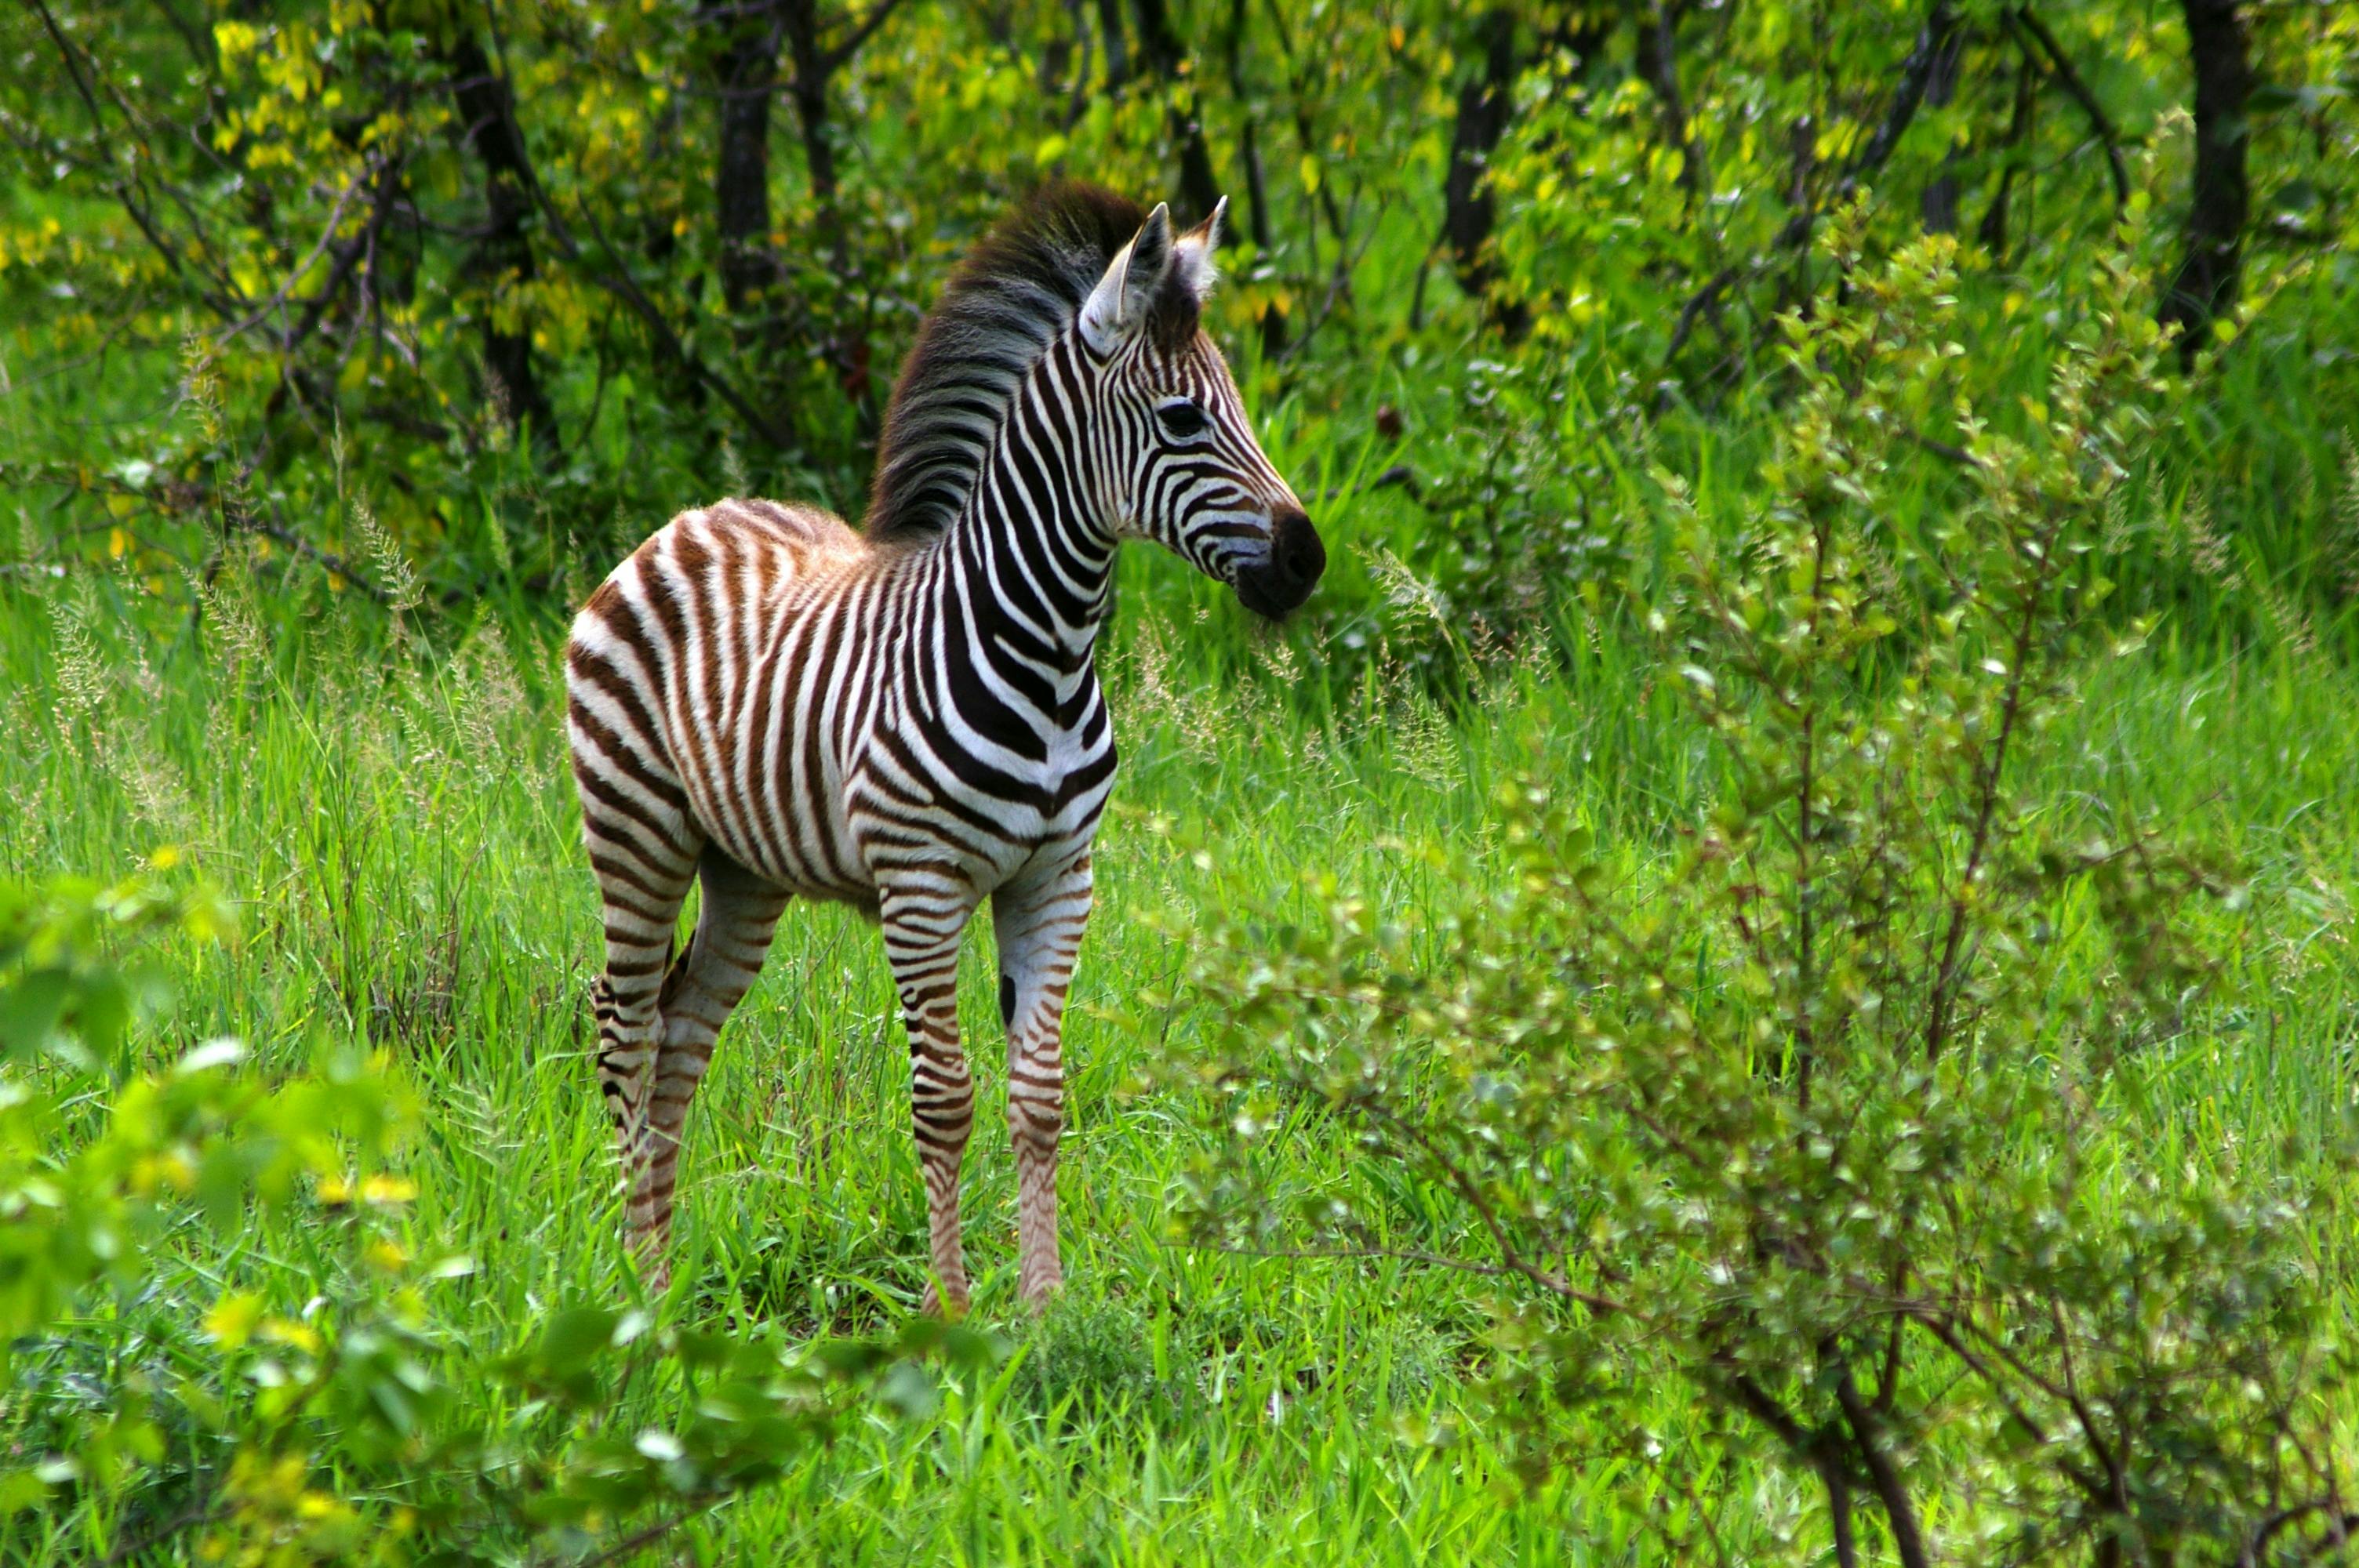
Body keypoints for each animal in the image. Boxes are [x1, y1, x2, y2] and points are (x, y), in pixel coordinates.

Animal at [564, 184, 1324, 1313]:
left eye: (1235, 404)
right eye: (1185, 418)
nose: (1307, 560)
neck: (1044, 653)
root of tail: (686, 519)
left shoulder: (1059, 878)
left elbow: (1040, 1096)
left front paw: (1046, 1307)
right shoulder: (921, 889)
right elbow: (946, 1100)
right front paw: (952, 1310)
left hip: (743, 869)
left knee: (680, 1035)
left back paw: (661, 1275)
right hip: (637, 830)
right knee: (624, 1030)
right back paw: (633, 1286)